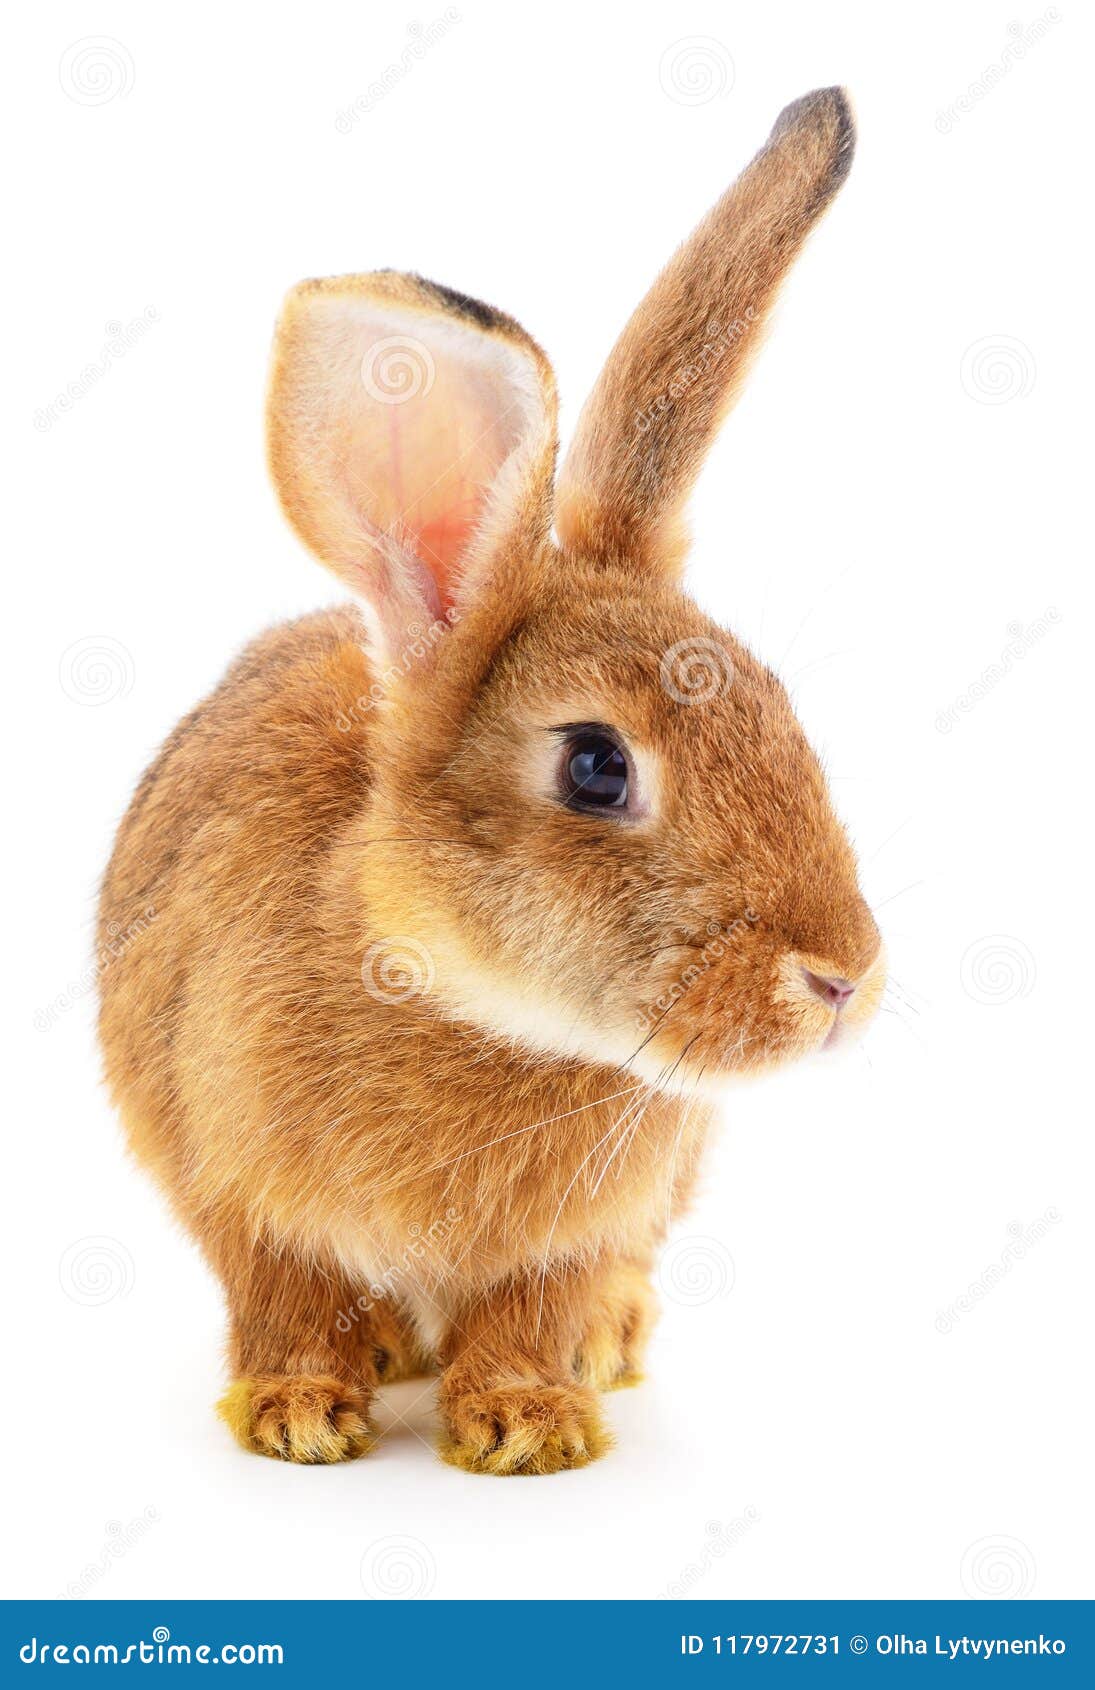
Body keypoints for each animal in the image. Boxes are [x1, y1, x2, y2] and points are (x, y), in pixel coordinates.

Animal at [98, 87, 884, 1474]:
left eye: (783, 714)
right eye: (595, 766)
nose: (845, 975)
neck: (455, 992)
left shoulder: (572, 1235)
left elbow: (533, 1306)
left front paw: (528, 1425)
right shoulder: (230, 1179)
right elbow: (281, 1291)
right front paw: (299, 1414)